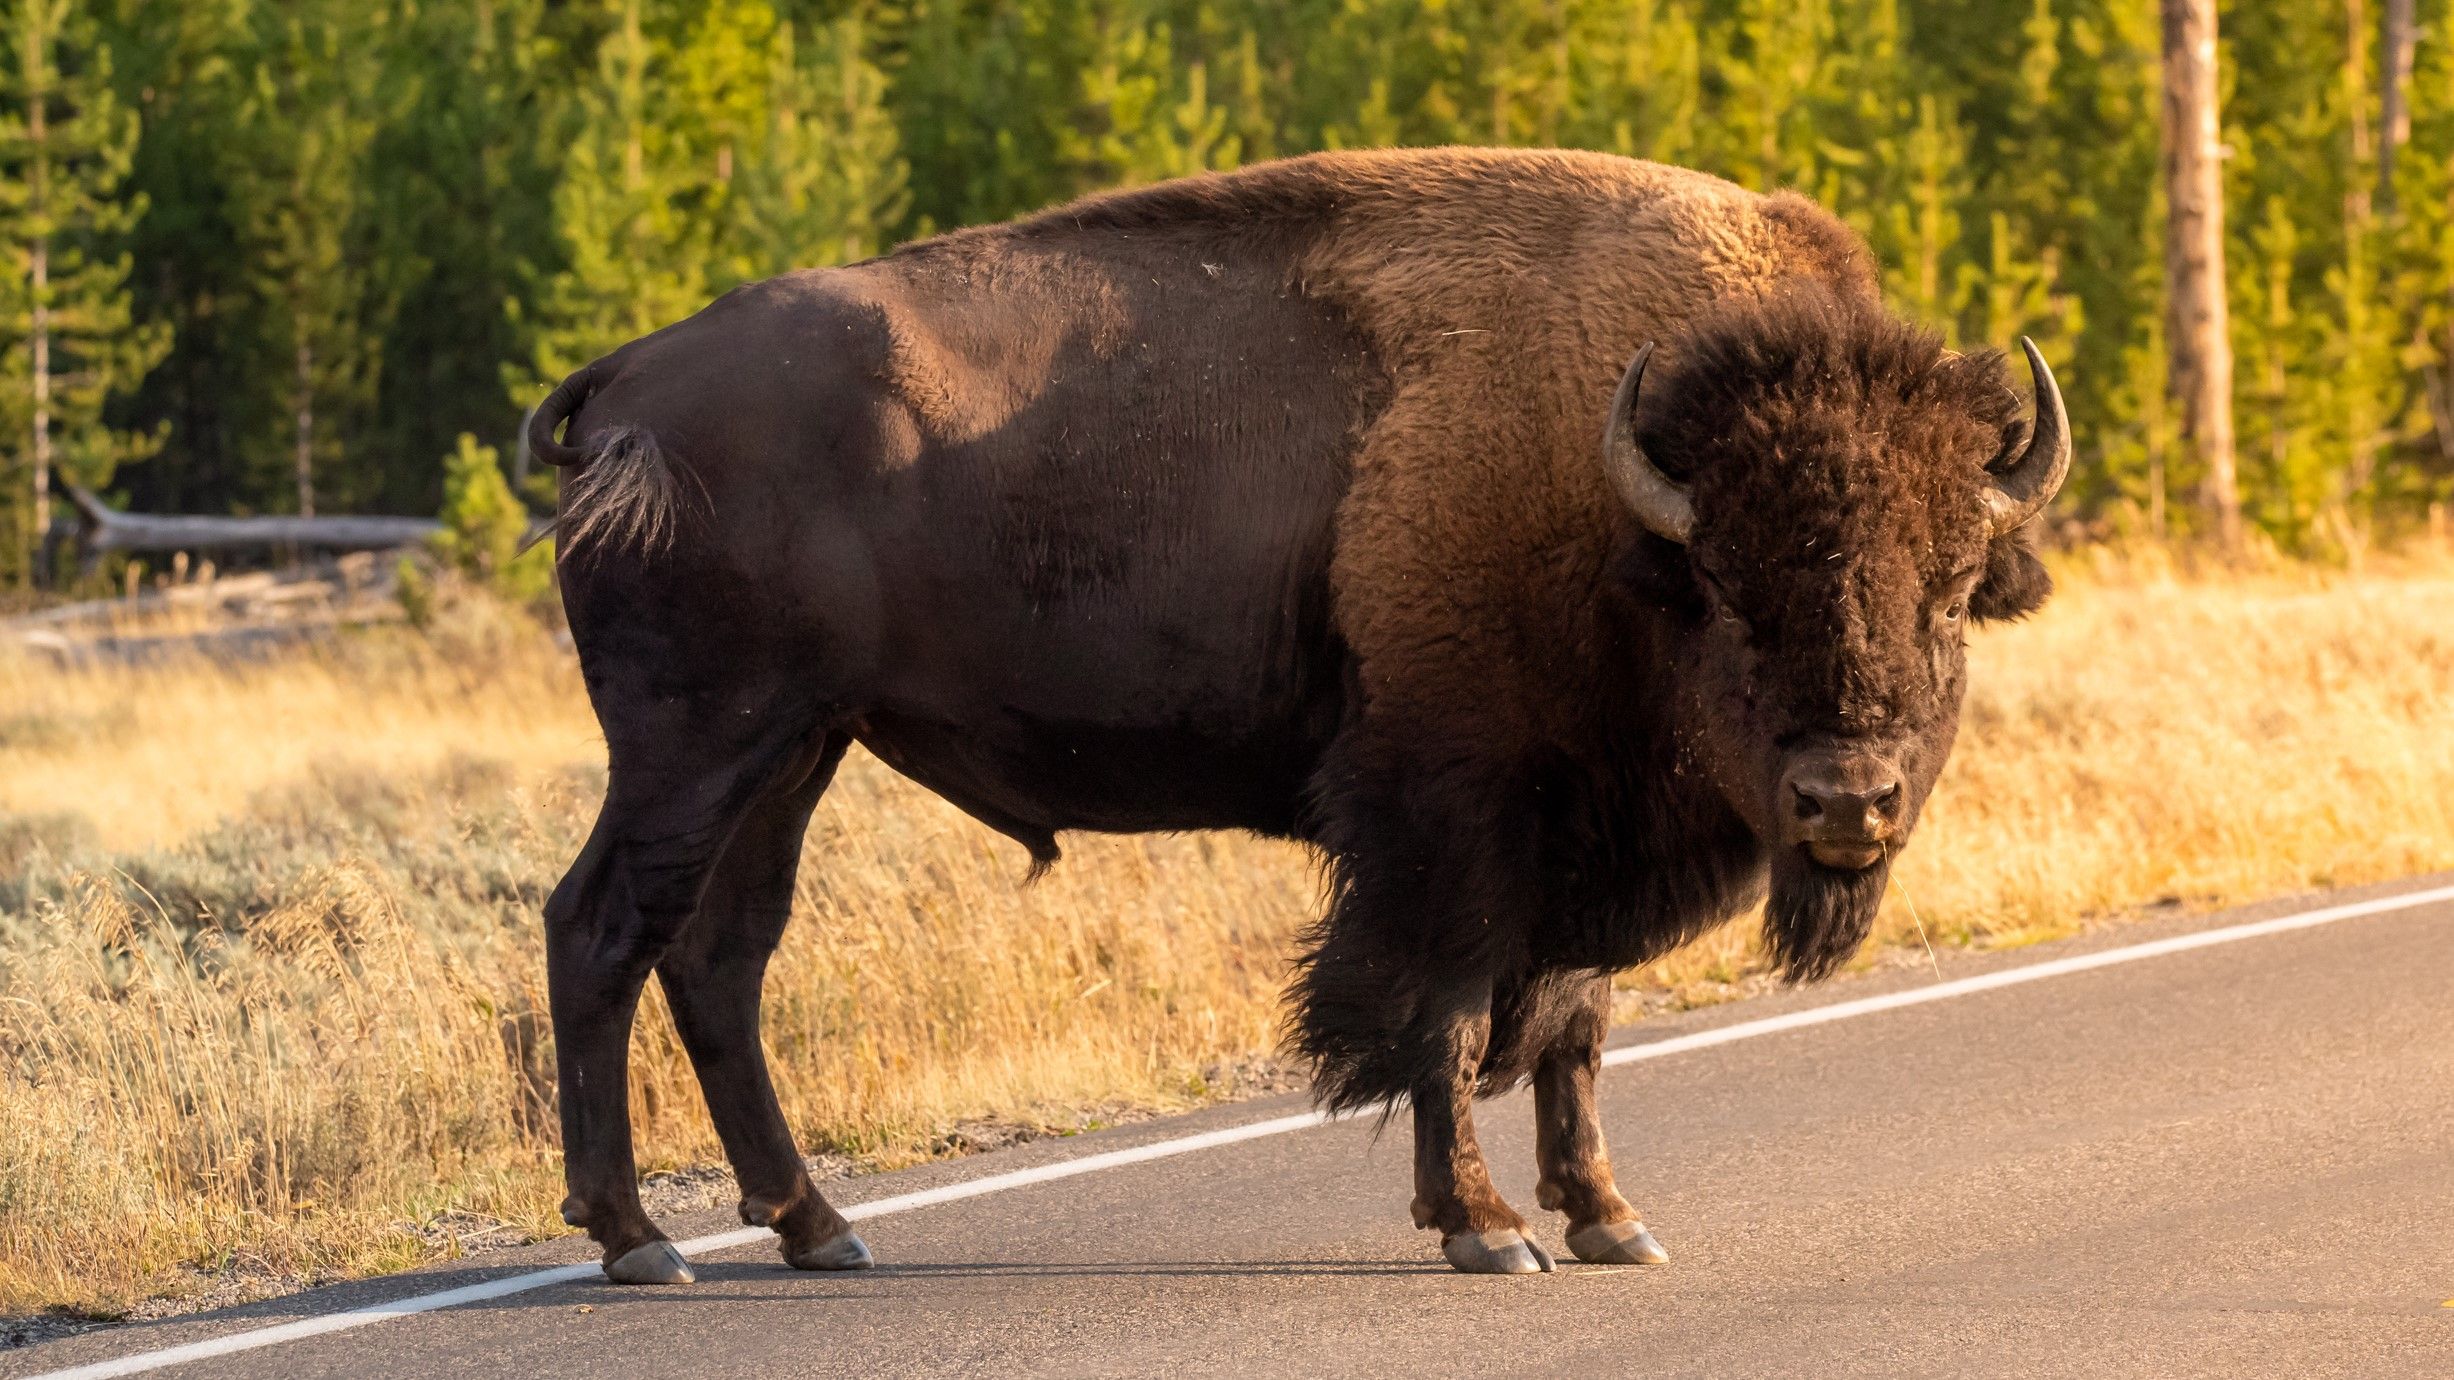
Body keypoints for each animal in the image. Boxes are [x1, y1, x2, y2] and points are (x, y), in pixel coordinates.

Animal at [526, 147, 2066, 1283]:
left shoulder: (1582, 838)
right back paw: (640, 1242)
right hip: (695, 745)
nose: (1847, 800)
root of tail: (627, 378)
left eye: (1947, 593)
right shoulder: (1449, 821)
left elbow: (1573, 1027)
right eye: (1730, 596)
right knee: (603, 931)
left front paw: (1609, 1222)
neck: (1613, 495)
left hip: (795, 750)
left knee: (719, 956)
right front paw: (1485, 1232)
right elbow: (1446, 1017)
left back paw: (814, 1229)